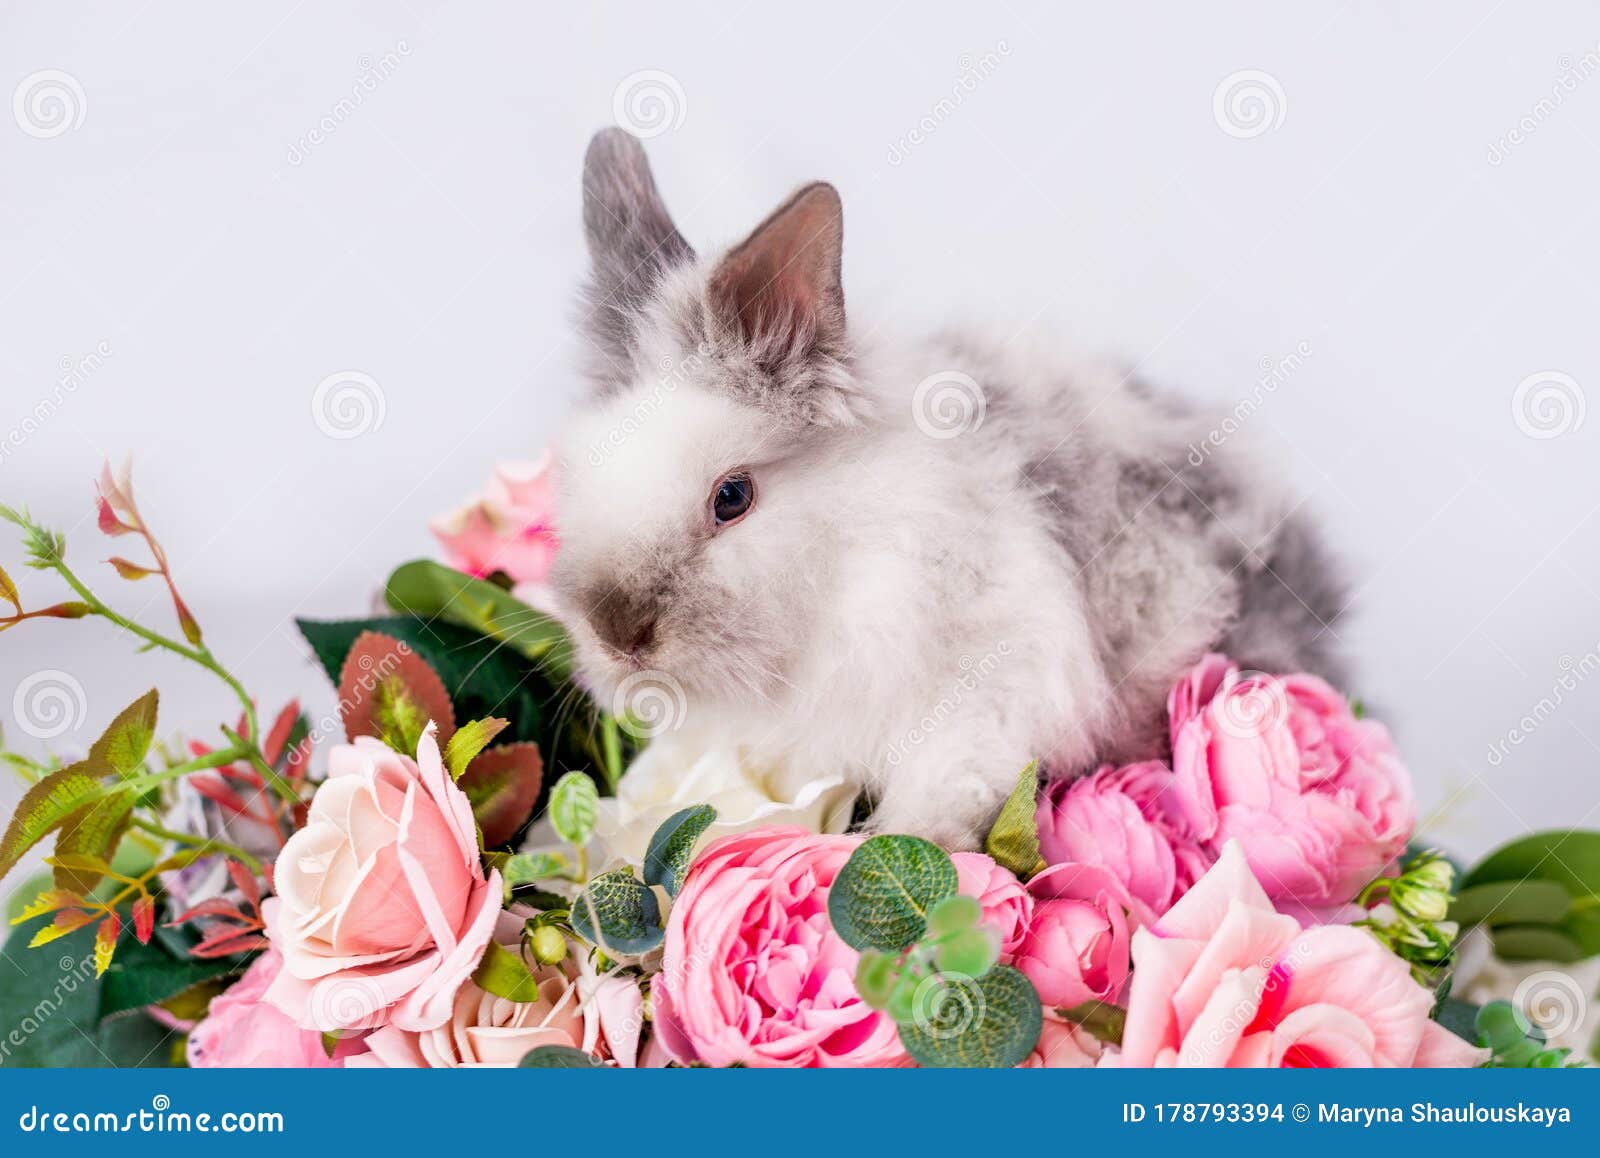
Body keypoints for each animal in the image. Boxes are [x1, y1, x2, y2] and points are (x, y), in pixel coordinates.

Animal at [547, 127, 1347, 851]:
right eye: (574, 477)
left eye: (732, 498)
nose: (620, 635)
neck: (850, 560)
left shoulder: (993, 690)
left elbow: (946, 792)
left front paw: (897, 853)